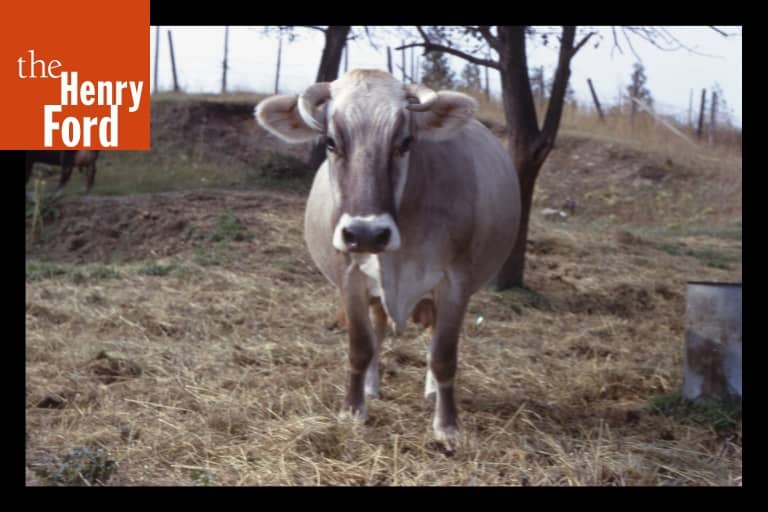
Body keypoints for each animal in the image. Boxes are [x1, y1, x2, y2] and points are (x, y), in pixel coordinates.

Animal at [255, 69, 521, 450]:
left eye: (406, 142)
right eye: (331, 142)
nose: (366, 233)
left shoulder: (455, 282)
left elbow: (443, 355)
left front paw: (447, 426)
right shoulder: (350, 277)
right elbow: (360, 346)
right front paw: (352, 411)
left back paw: (429, 391)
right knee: (378, 331)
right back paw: (371, 385)